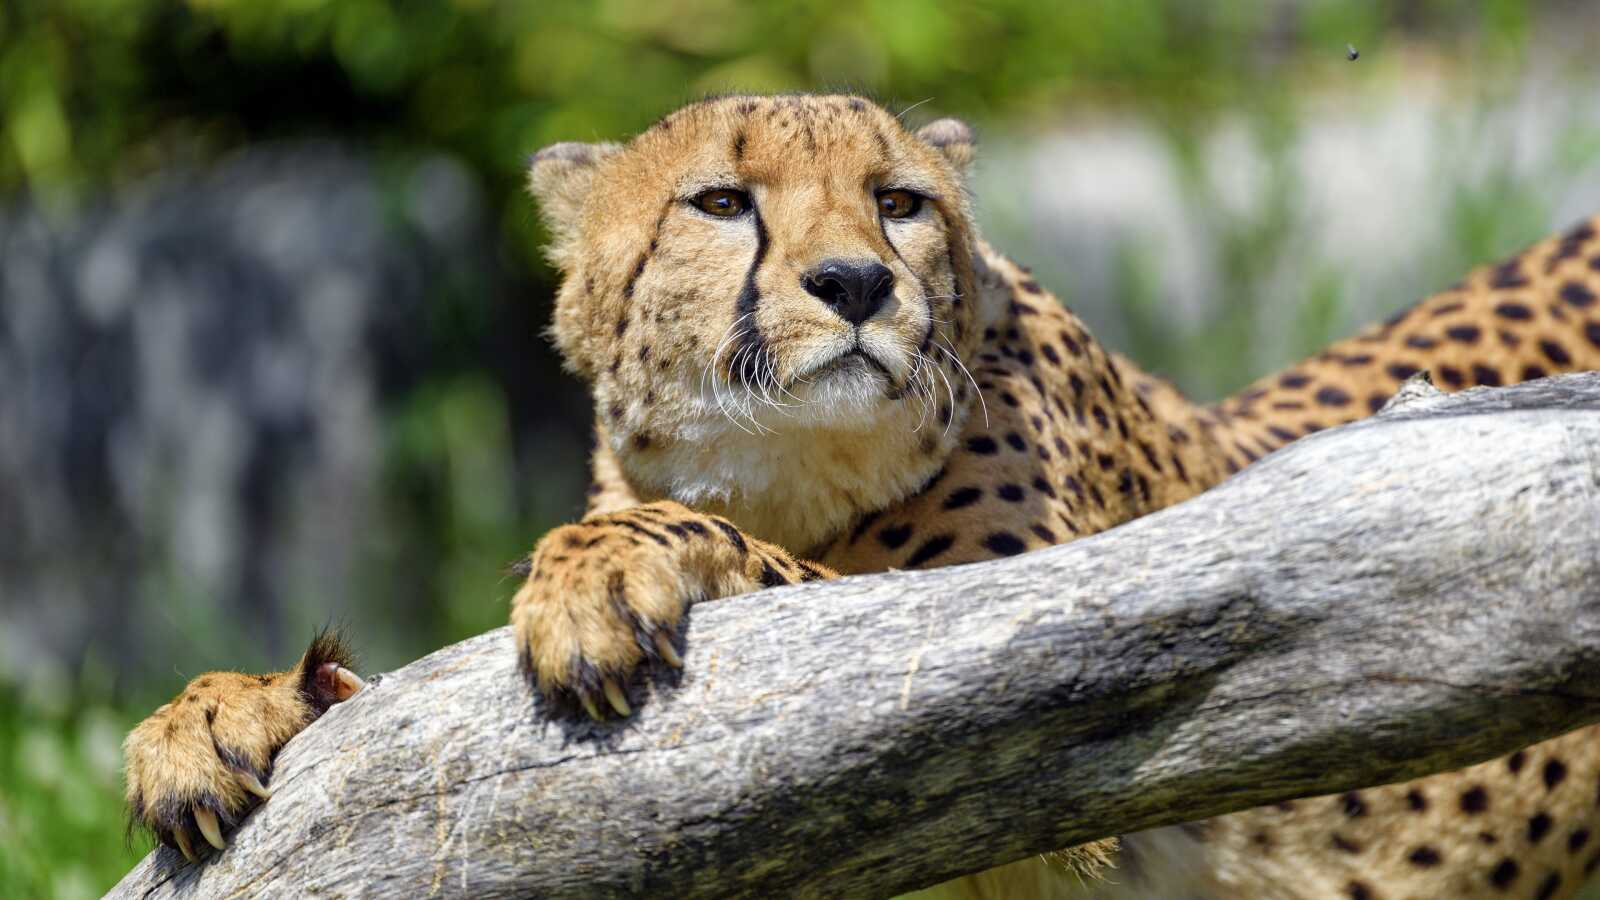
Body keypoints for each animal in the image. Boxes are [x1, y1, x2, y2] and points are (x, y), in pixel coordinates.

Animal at [122, 93, 1600, 898]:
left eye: (900, 203)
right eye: (721, 202)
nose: (853, 284)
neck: (784, 466)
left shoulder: (1014, 685)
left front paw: (596, 570)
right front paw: (217, 711)